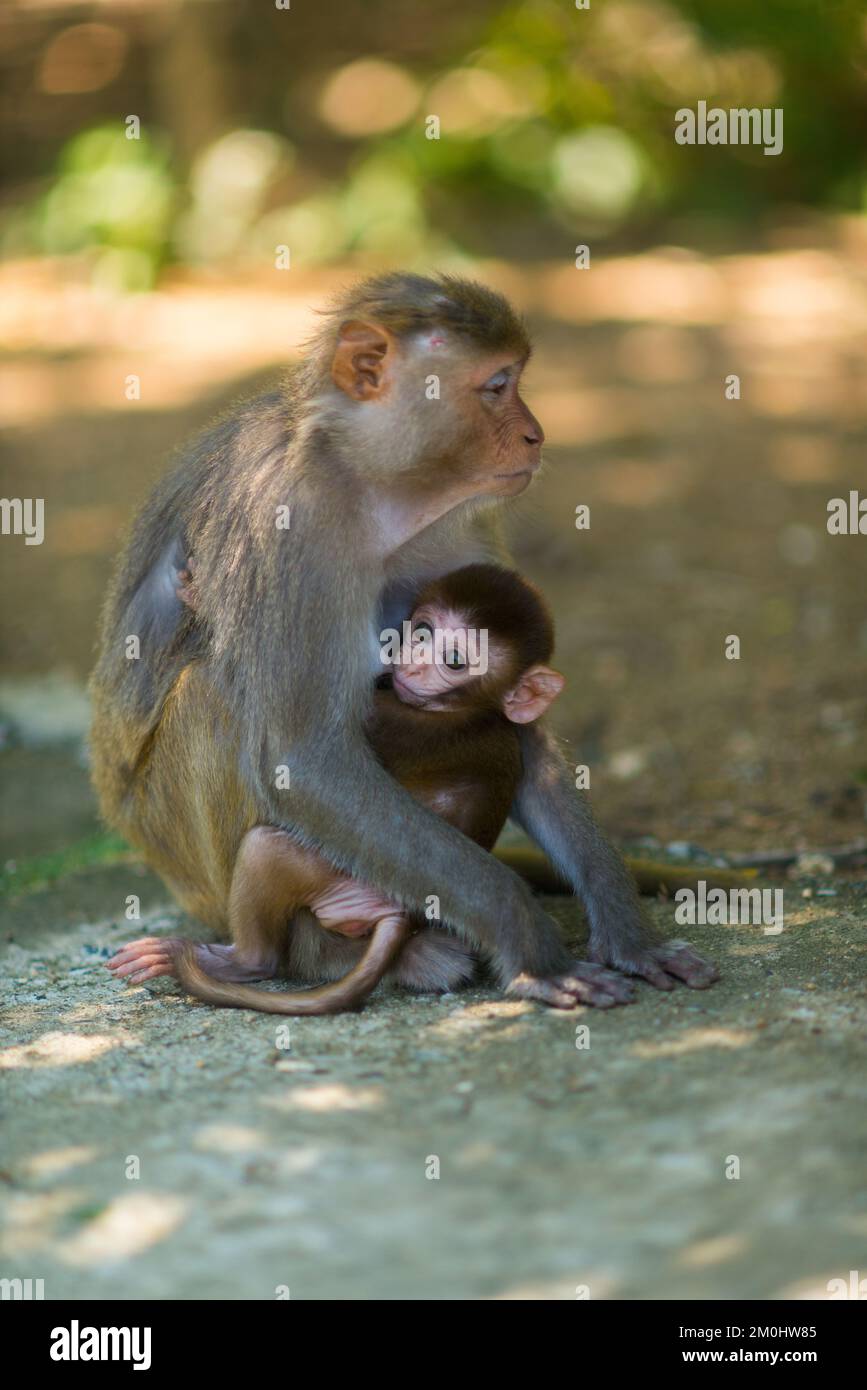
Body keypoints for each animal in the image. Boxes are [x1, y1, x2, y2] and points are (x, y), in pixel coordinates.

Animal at [108, 563, 628, 1013]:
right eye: (423, 632)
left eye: (455, 660)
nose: (412, 663)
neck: (463, 711)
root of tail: (404, 915)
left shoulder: (404, 722)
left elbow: (309, 751)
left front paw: (206, 600)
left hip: (343, 882)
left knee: (266, 850)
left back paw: (236, 960)